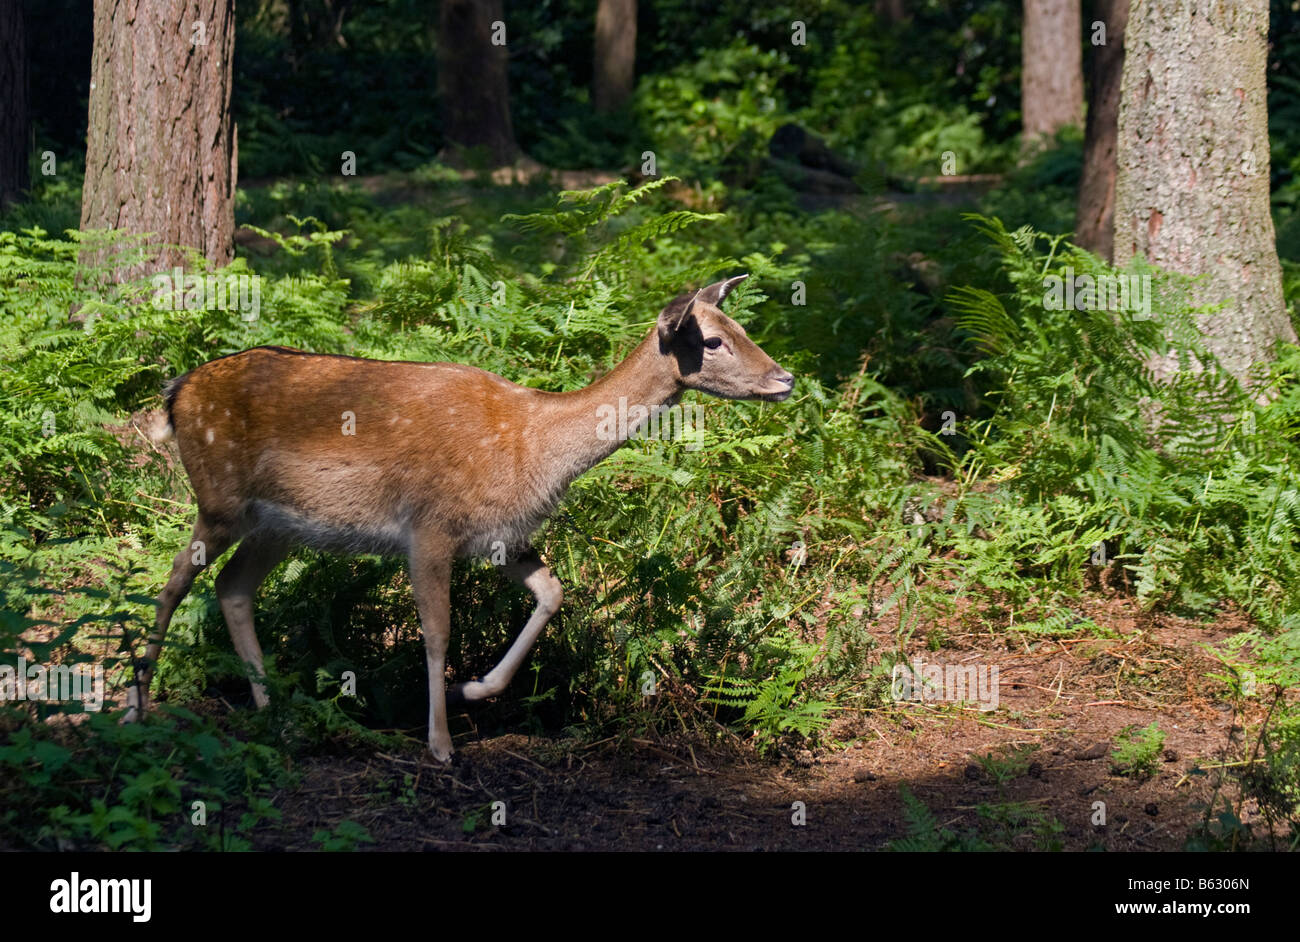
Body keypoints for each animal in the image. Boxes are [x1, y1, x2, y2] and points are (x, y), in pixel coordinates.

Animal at [126, 275, 794, 762]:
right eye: (712, 341)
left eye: (740, 327)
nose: (785, 377)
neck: (532, 447)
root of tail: (176, 393)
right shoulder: (430, 528)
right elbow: (438, 631)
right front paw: (441, 744)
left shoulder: (501, 537)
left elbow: (553, 593)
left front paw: (471, 690)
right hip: (218, 498)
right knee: (172, 583)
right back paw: (136, 708)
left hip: (277, 526)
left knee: (232, 587)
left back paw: (274, 715)